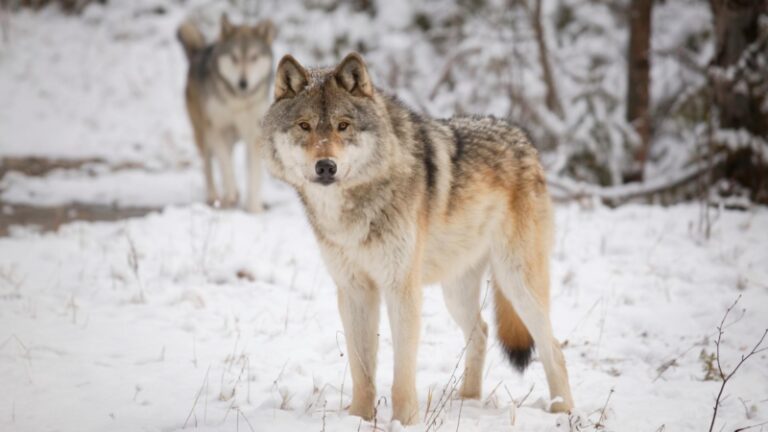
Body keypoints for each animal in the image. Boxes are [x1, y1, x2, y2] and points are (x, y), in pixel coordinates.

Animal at [177, 14, 275, 212]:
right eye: (234, 57)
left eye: (253, 57)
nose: (243, 83)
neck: (237, 101)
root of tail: (199, 52)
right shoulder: (215, 129)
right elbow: (225, 166)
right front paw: (231, 194)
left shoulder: (254, 134)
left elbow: (253, 176)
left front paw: (254, 208)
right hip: (203, 135)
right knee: (209, 165)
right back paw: (215, 196)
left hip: (230, 138)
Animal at [261, 53, 574, 425]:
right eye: (305, 126)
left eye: (343, 126)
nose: (325, 166)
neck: (352, 210)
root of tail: (522, 137)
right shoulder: (354, 290)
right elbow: (362, 371)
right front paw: (358, 418)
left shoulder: (401, 288)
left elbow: (401, 372)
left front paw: (405, 421)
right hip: (456, 292)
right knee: (482, 332)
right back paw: (468, 400)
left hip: (517, 283)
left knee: (553, 346)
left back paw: (563, 410)